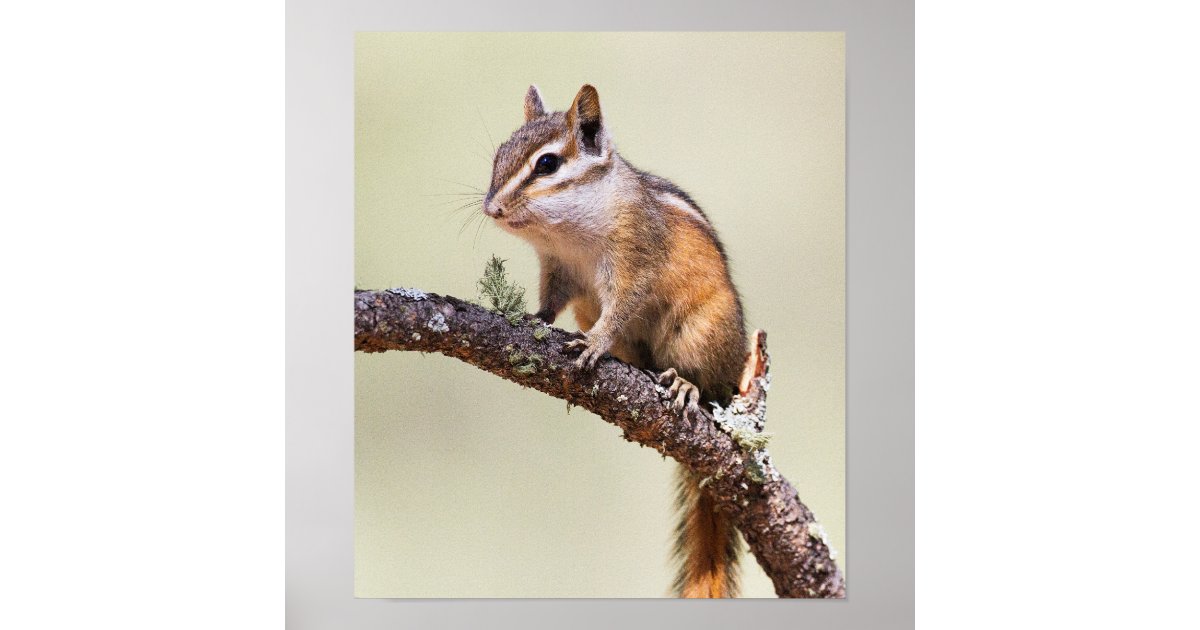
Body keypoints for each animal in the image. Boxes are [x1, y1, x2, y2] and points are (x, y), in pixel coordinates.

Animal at [482, 84, 749, 598]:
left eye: (547, 164)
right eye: (499, 154)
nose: (492, 210)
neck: (568, 234)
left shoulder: (633, 260)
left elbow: (621, 308)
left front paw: (593, 343)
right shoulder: (558, 269)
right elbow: (551, 301)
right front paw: (533, 319)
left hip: (704, 333)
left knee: (709, 388)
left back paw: (686, 386)